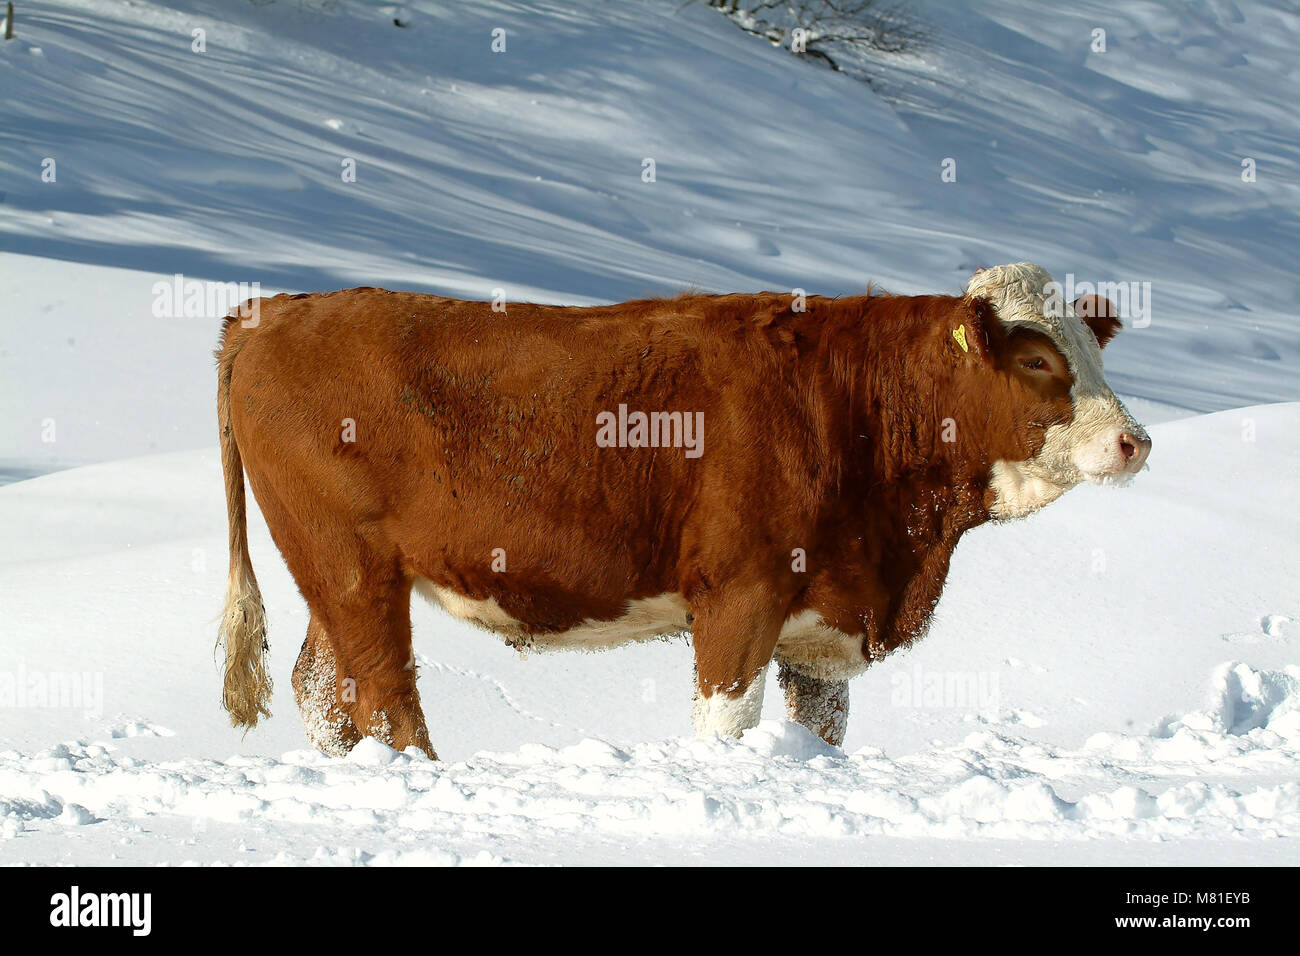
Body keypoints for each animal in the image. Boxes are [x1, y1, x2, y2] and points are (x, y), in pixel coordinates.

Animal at [215, 262, 1150, 757]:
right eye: (1035, 359)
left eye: (1088, 353)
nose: (1134, 440)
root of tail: (276, 309)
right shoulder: (741, 595)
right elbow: (723, 726)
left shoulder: (824, 625)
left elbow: (819, 734)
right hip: (354, 565)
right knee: (385, 698)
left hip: (332, 576)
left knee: (322, 688)